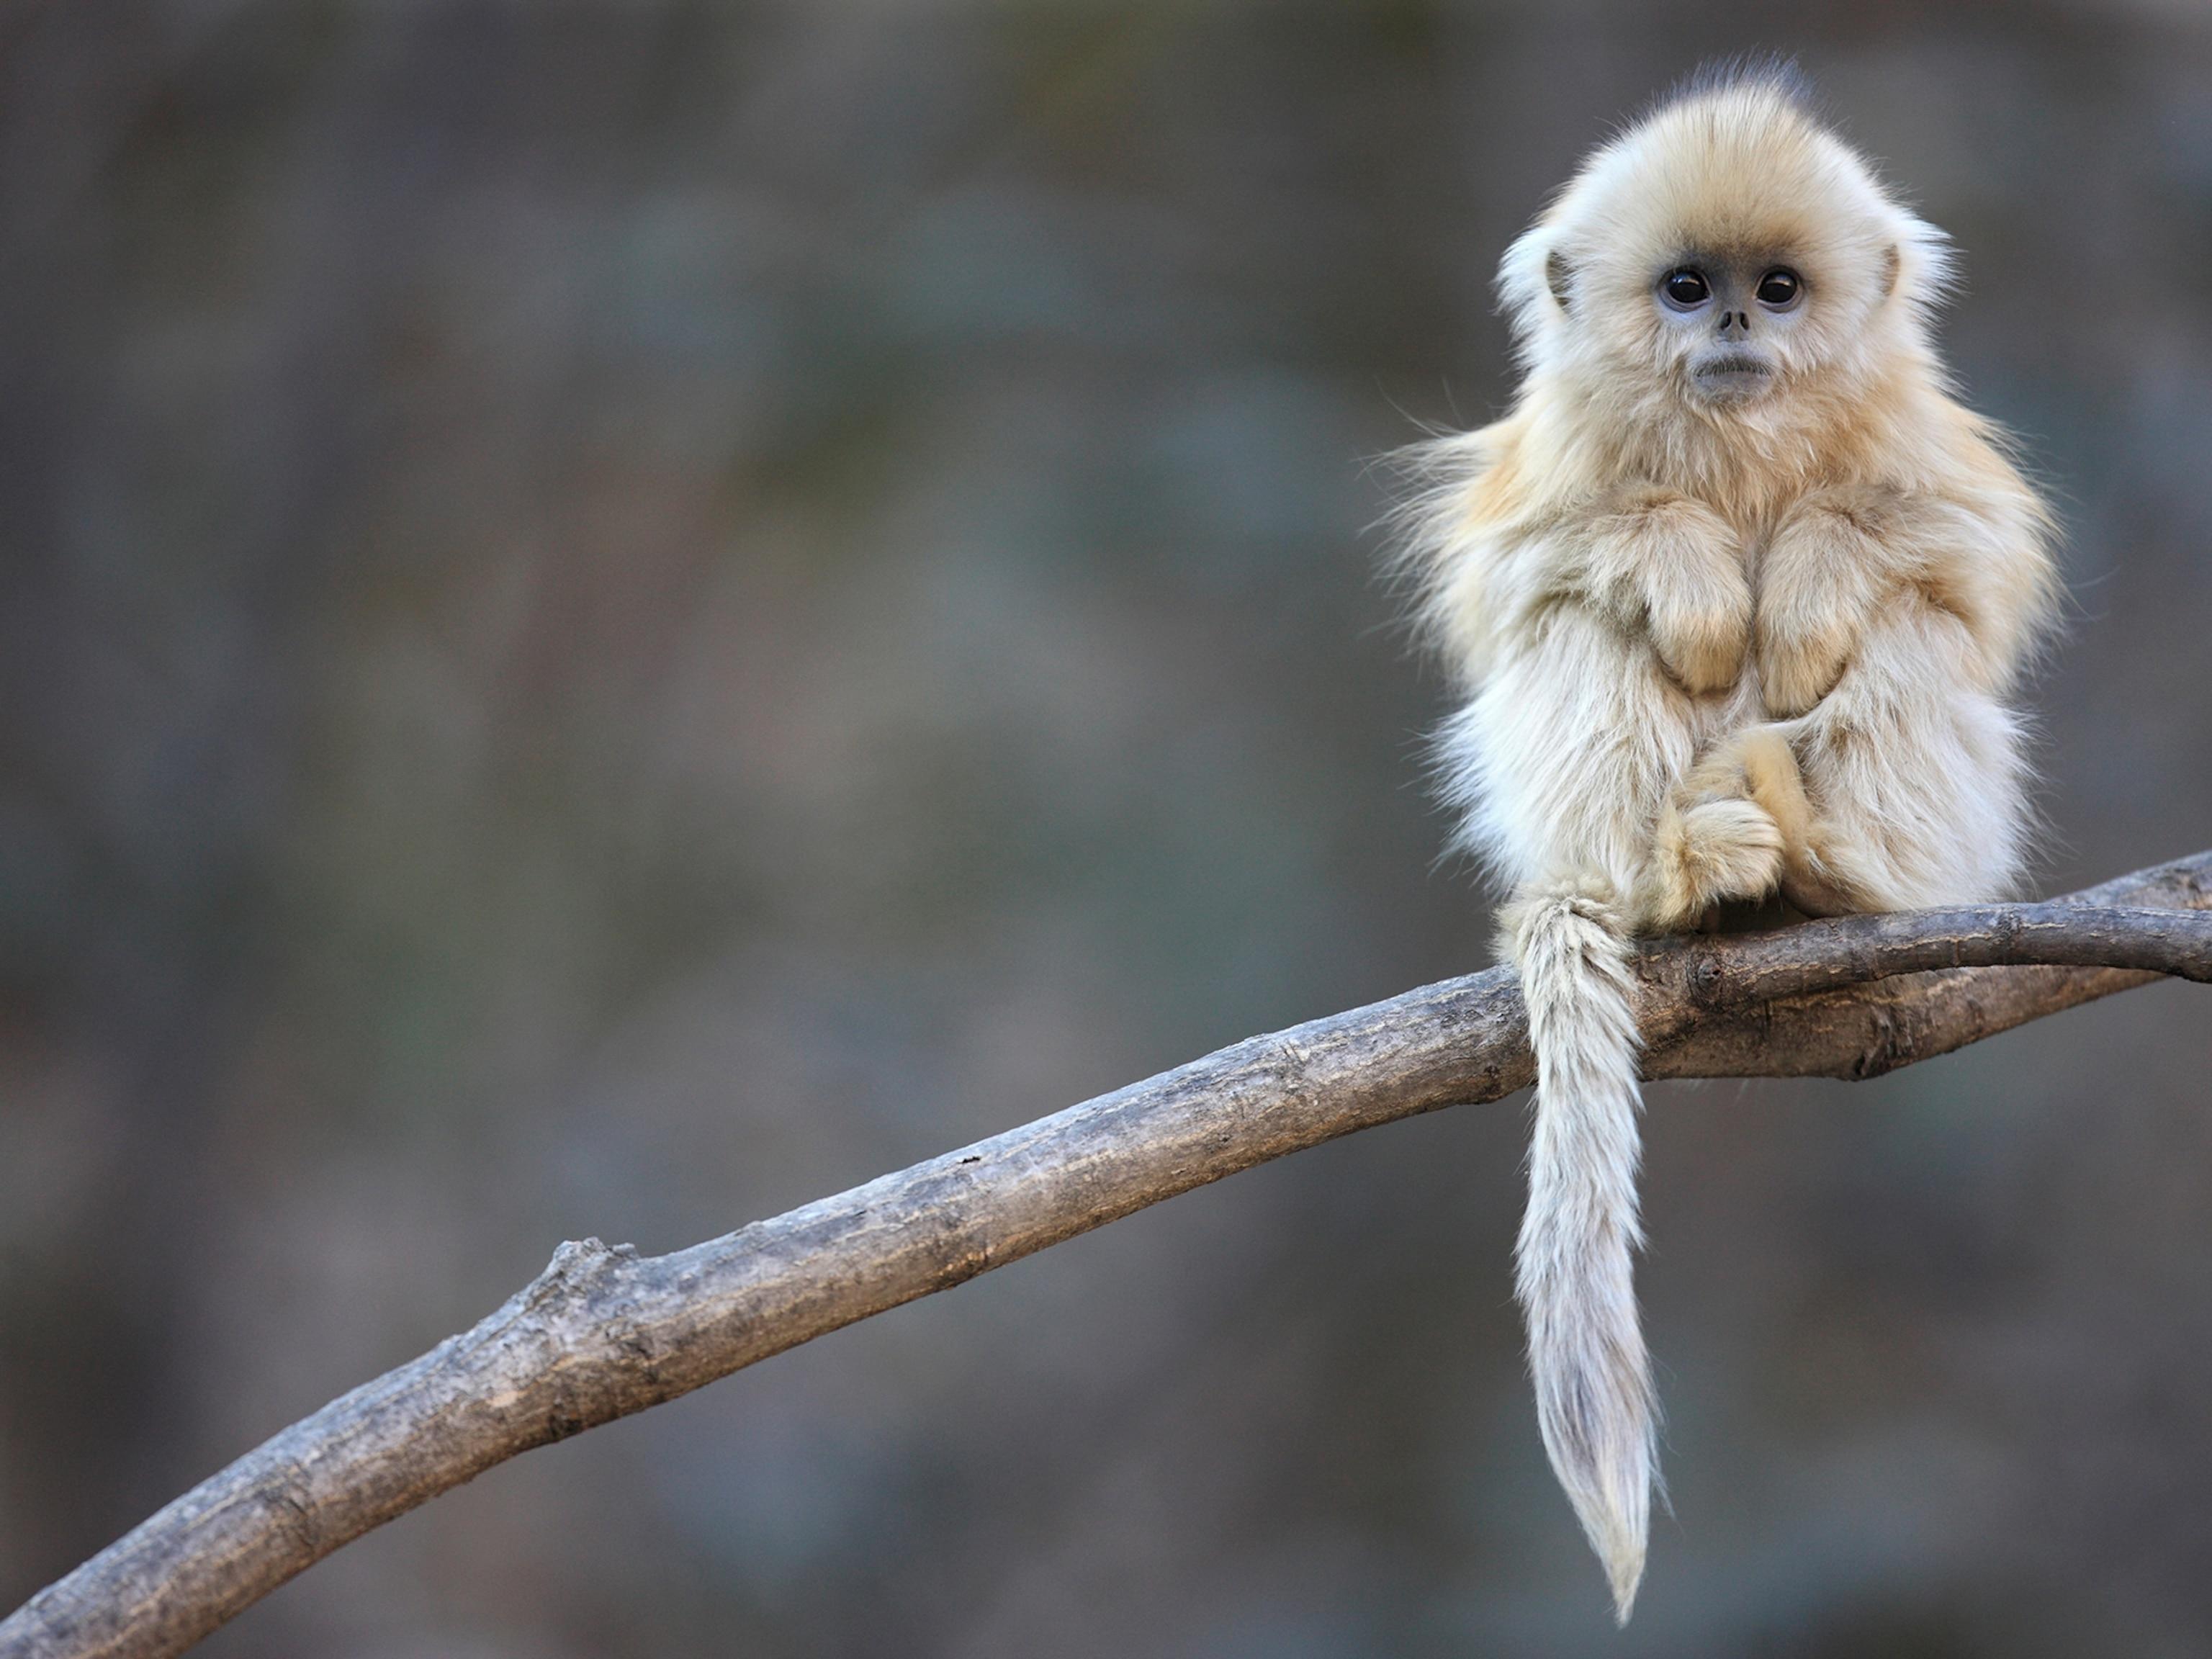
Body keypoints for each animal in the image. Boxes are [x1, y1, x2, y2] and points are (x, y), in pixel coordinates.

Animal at [1396, 63, 2058, 1620]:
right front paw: (1695, 576)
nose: (1739, 330)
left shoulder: (1927, 450)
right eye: (1687, 287)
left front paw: (1806, 582)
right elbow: (1523, 578)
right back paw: (1675, 877)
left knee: (1913, 627)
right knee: (1581, 627)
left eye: (1779, 286)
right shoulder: (1550, 468)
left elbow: (1965, 562)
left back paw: (1829, 868)